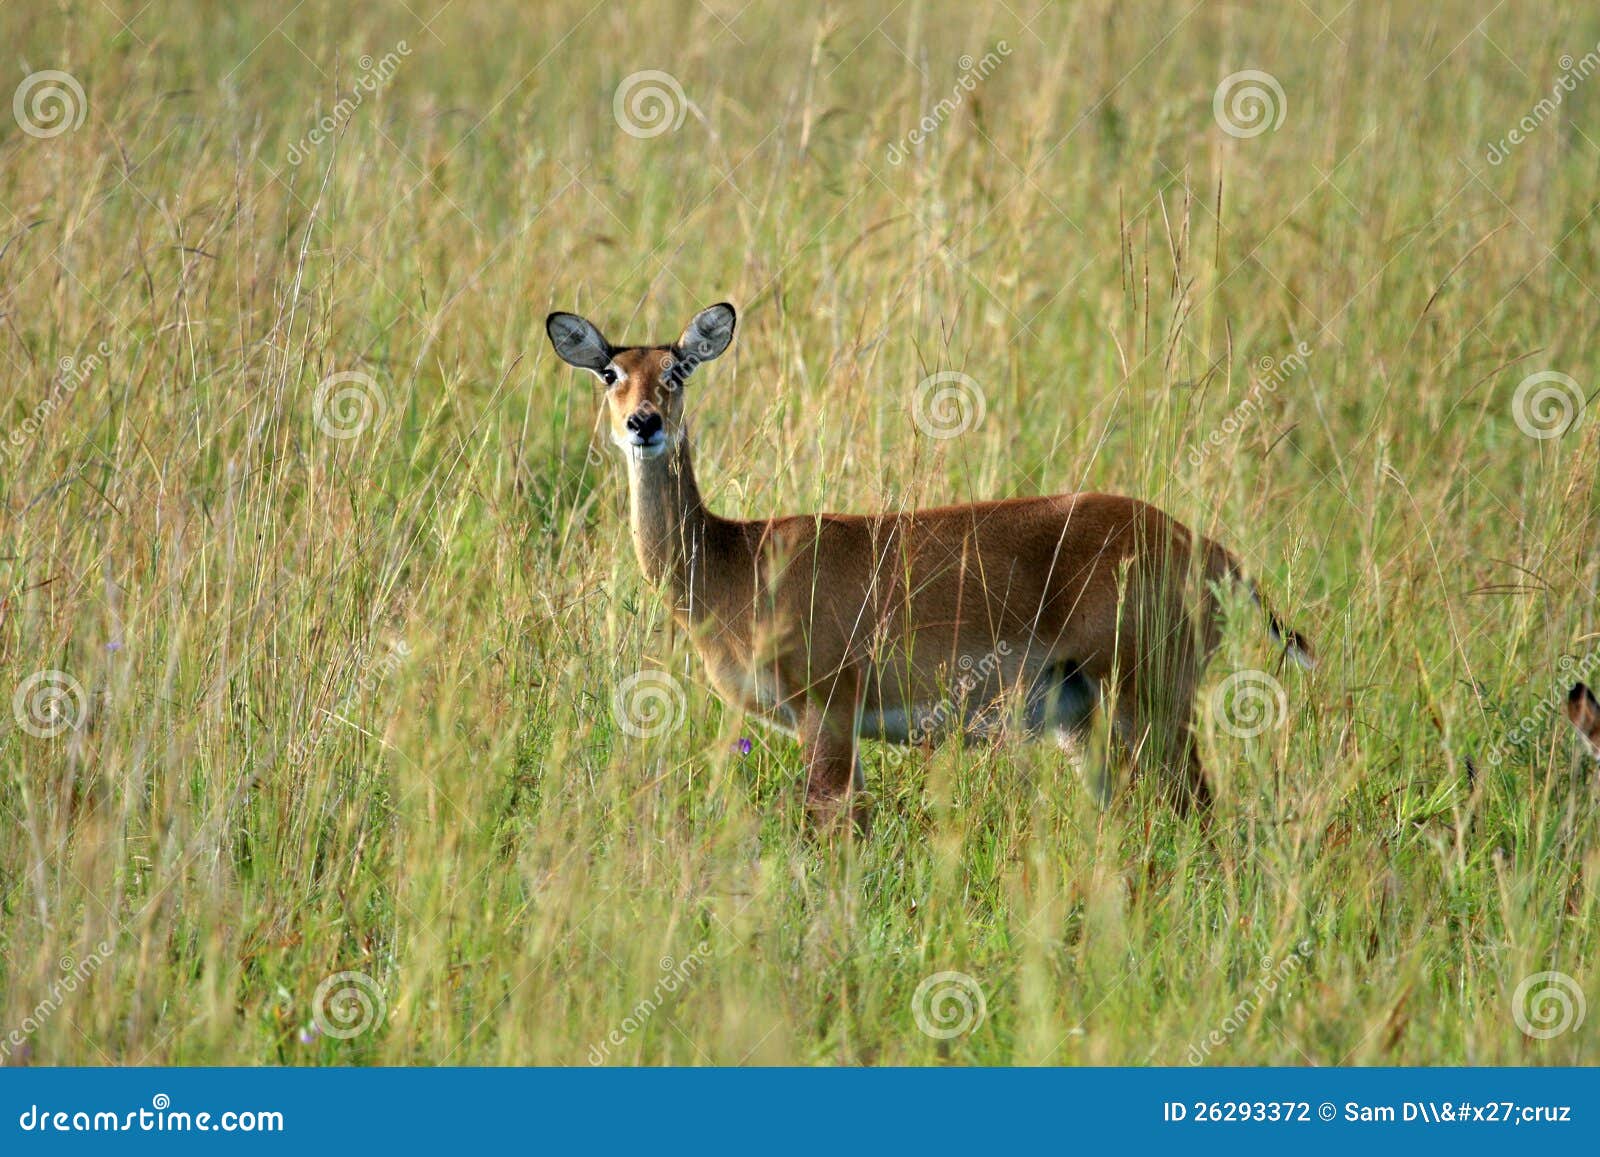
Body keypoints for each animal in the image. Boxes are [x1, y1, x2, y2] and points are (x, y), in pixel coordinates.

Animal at [547, 303, 1313, 833]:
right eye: (611, 373)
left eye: (677, 369)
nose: (644, 423)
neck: (734, 560)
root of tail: (1208, 548)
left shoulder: (827, 712)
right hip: (1087, 721)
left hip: (1148, 699)